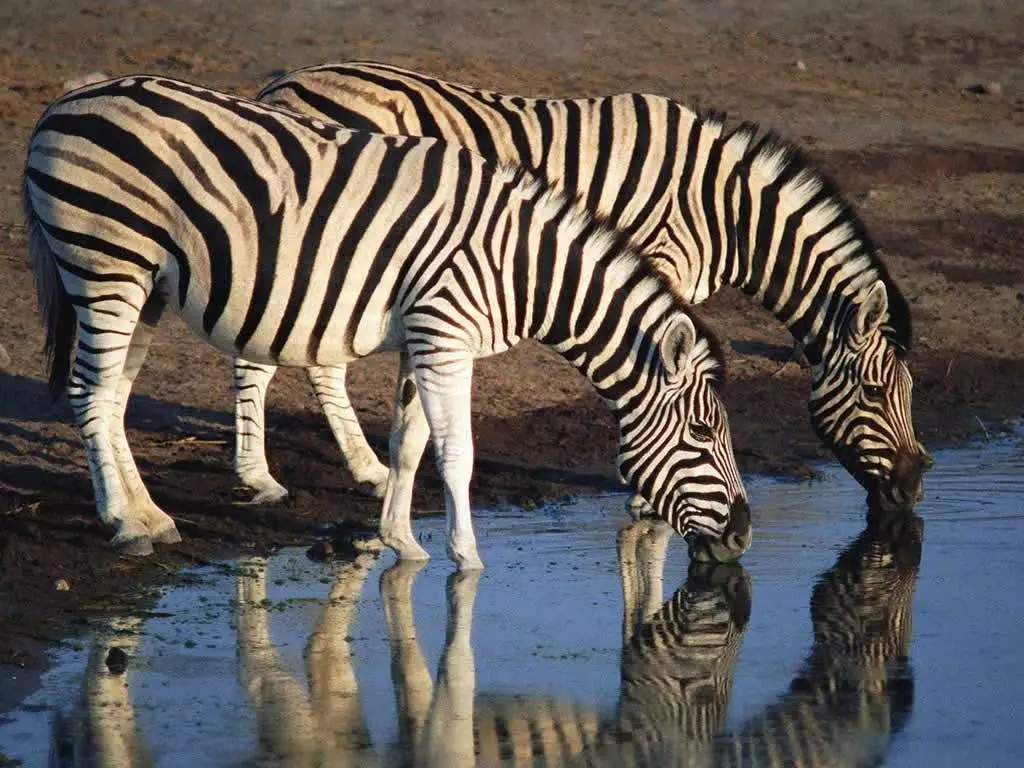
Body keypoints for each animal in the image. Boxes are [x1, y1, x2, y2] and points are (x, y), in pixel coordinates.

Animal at [19, 73, 749, 565]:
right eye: (701, 433)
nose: (744, 533)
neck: (521, 263)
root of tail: (66, 101)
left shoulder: (425, 338)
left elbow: (408, 442)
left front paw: (400, 542)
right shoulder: (445, 337)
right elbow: (456, 453)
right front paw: (465, 560)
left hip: (145, 284)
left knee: (112, 397)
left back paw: (149, 515)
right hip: (104, 263)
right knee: (89, 393)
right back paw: (123, 524)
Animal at [239, 60, 929, 514]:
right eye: (875, 391)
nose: (915, 484)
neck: (725, 209)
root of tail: (281, 83)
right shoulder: (658, 260)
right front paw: (646, 492)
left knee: (317, 355)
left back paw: (367, 470)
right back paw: (260, 478)